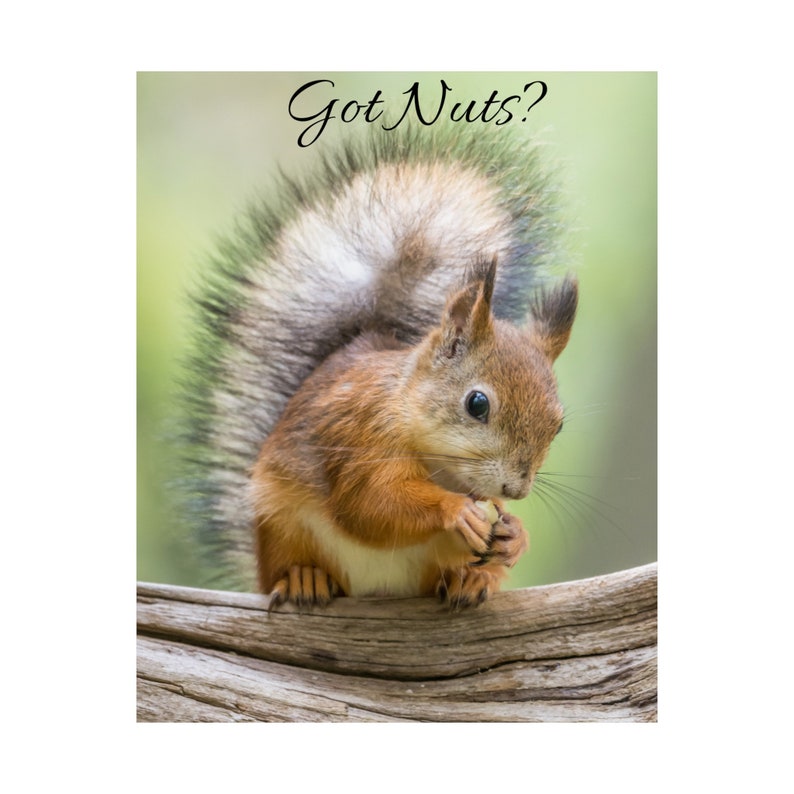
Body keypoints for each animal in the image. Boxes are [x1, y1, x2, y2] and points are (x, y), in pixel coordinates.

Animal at [182, 124, 577, 609]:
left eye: (558, 425)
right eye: (477, 404)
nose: (516, 490)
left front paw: (514, 536)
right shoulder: (358, 436)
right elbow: (369, 504)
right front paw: (455, 509)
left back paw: (470, 579)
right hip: (279, 524)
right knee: (288, 564)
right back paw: (304, 578)